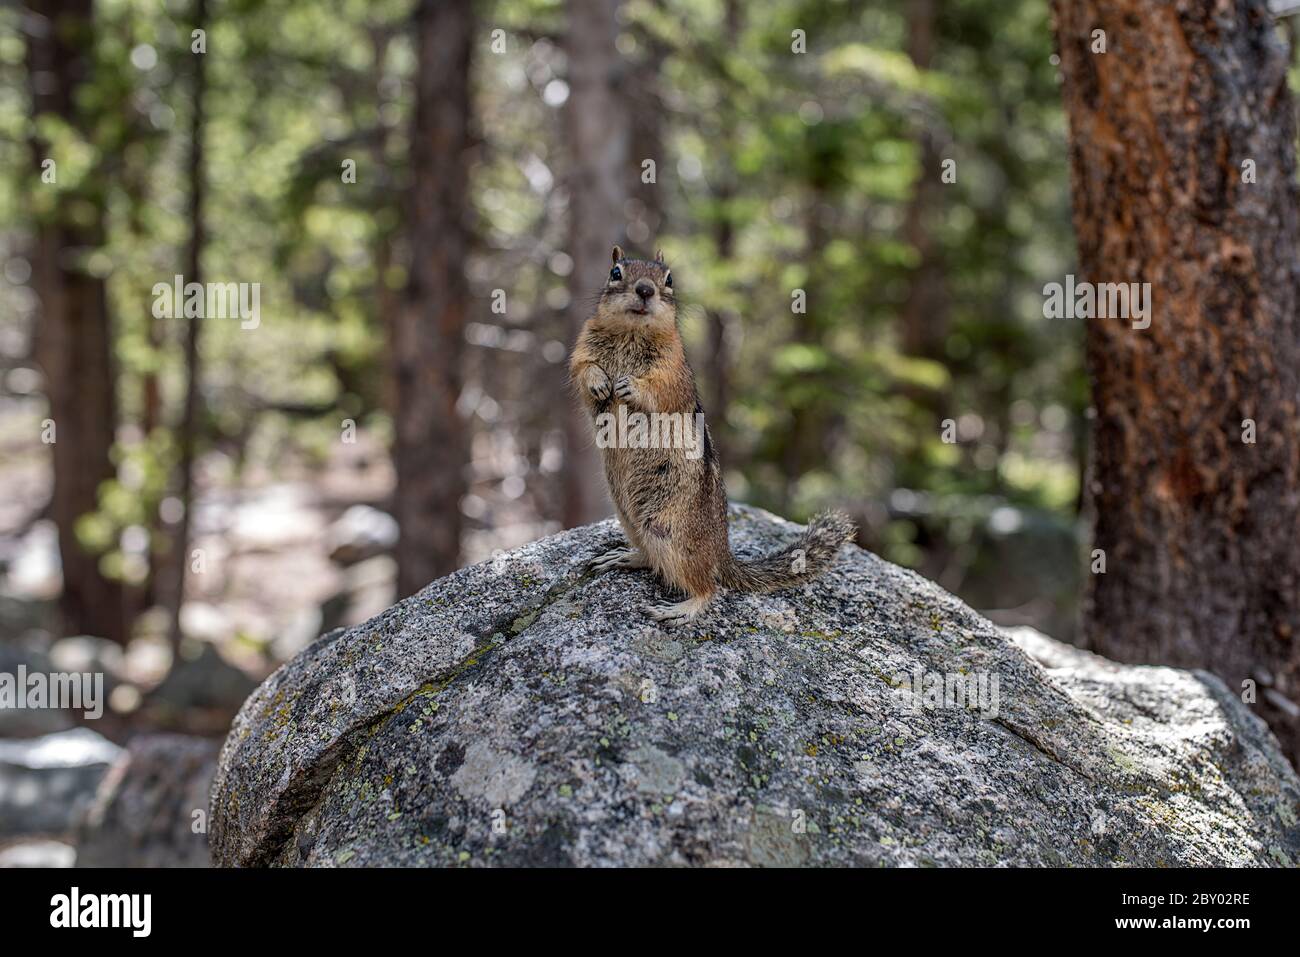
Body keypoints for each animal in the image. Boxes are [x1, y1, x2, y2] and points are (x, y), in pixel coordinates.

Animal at [569, 244, 856, 625]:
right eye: (615, 272)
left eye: (669, 279)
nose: (645, 289)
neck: (632, 332)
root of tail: (722, 554)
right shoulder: (583, 347)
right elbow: (584, 369)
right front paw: (600, 381)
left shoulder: (674, 370)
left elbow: (659, 390)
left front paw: (630, 386)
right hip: (632, 521)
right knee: (653, 559)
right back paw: (625, 557)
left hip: (671, 534)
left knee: (708, 587)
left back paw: (680, 608)